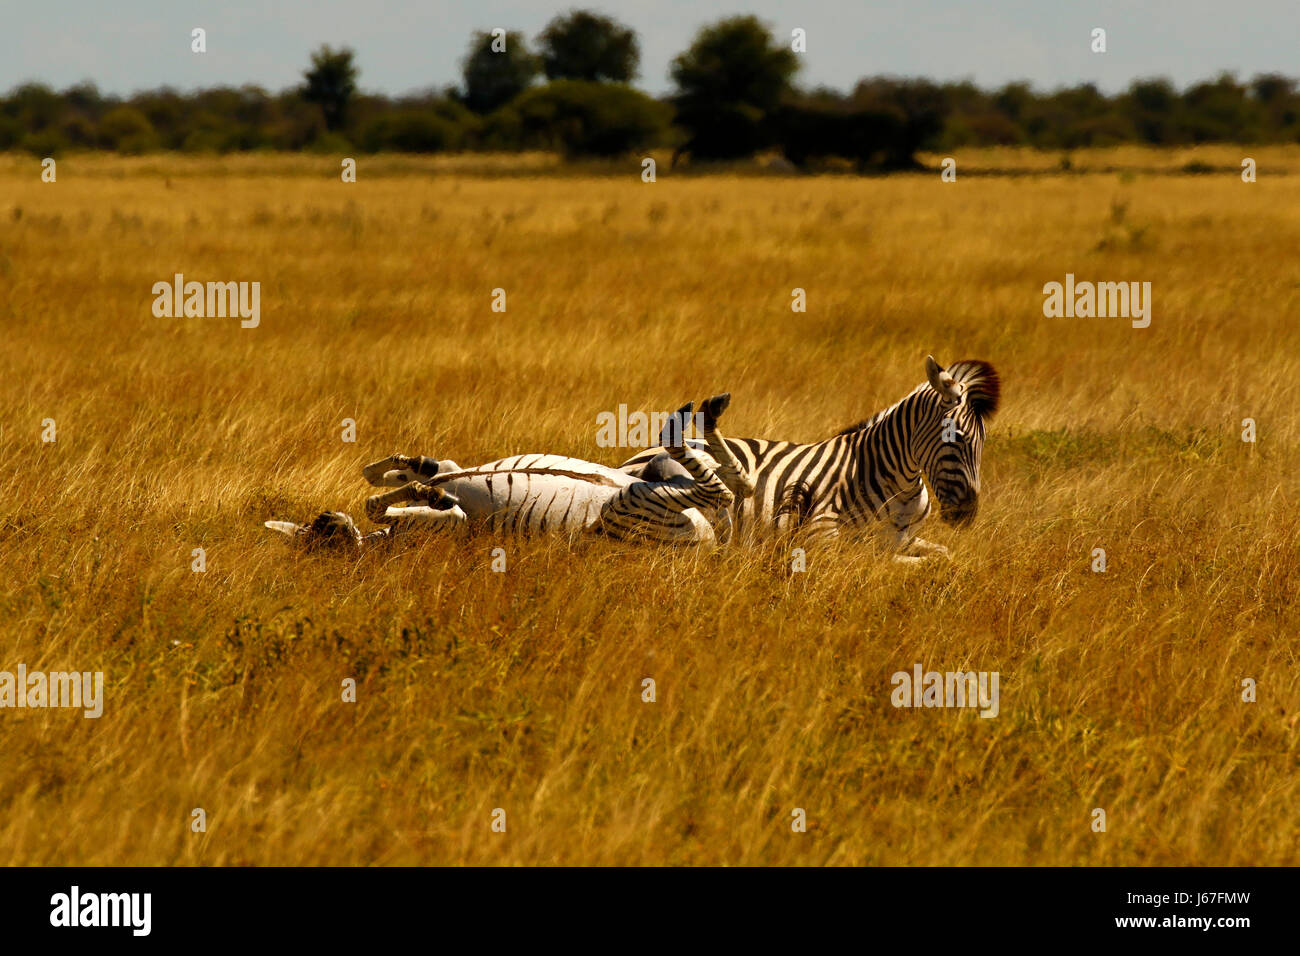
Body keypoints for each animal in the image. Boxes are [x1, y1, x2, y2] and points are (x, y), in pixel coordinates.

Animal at [264, 393, 755, 550]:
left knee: (735, 484)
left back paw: (703, 416)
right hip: (628, 507)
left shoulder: (451, 468)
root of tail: (712, 548)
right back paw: (697, 416)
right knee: (725, 491)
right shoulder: (457, 526)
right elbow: (390, 506)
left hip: (651, 473)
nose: (328, 519)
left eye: (321, 530)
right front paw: (426, 495)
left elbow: (395, 475)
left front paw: (401, 479)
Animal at [618, 356, 1000, 562]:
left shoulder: (904, 537)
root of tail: (632, 459)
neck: (899, 487)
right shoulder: (821, 535)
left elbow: (945, 556)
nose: (967, 515)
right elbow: (882, 560)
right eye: (956, 438)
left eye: (982, 443)